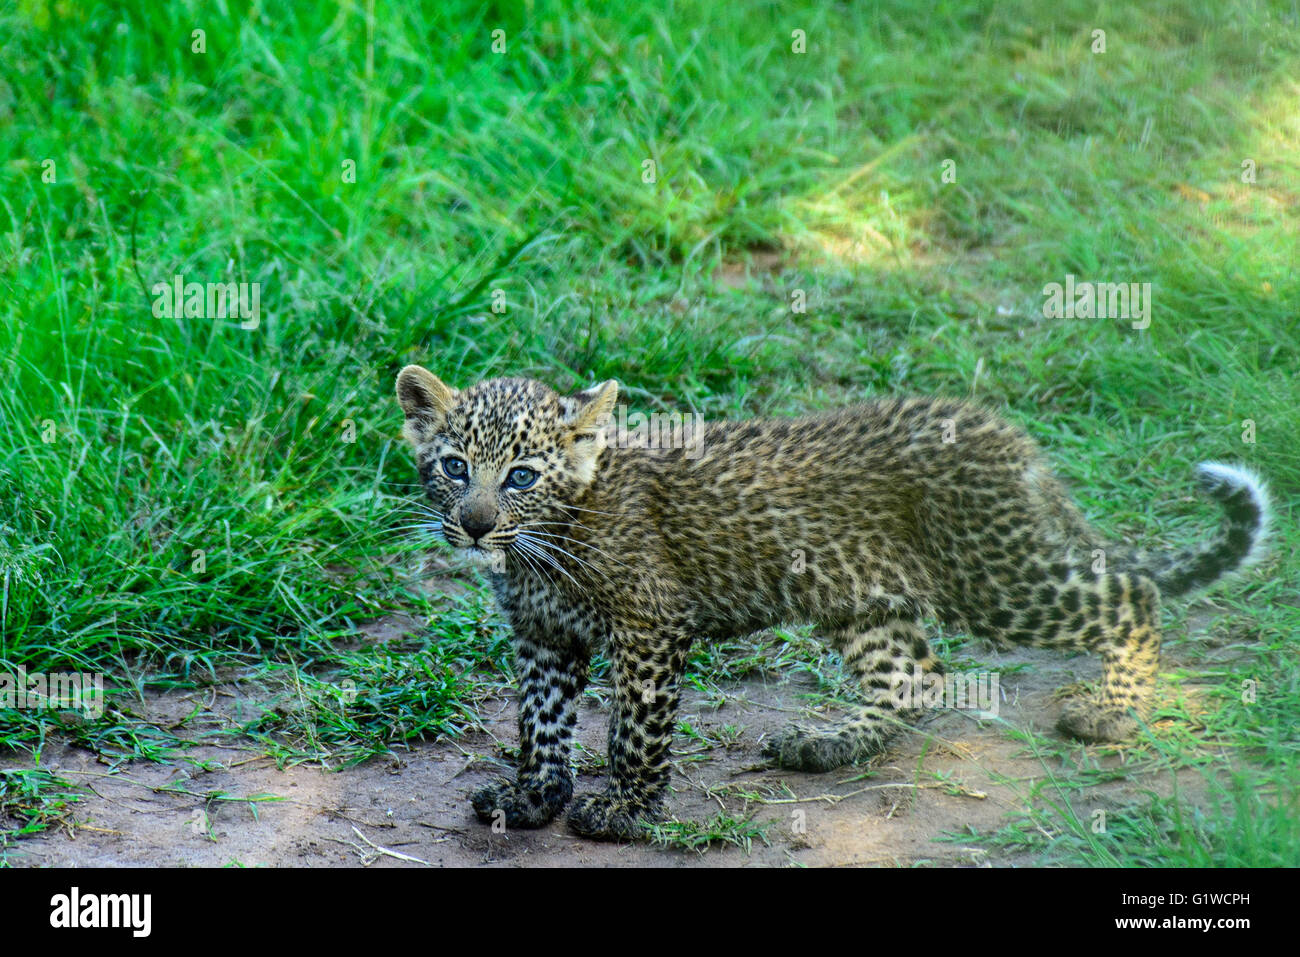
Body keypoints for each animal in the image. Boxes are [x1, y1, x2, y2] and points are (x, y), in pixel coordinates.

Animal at [394, 365, 1270, 841]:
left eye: (520, 476)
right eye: (453, 465)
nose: (475, 524)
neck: (543, 547)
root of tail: (1007, 435)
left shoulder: (649, 623)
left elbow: (633, 732)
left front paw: (627, 812)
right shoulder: (545, 637)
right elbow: (539, 725)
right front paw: (532, 797)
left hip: (997, 573)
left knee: (1130, 593)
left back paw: (1113, 711)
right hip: (864, 596)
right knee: (912, 676)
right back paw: (826, 743)